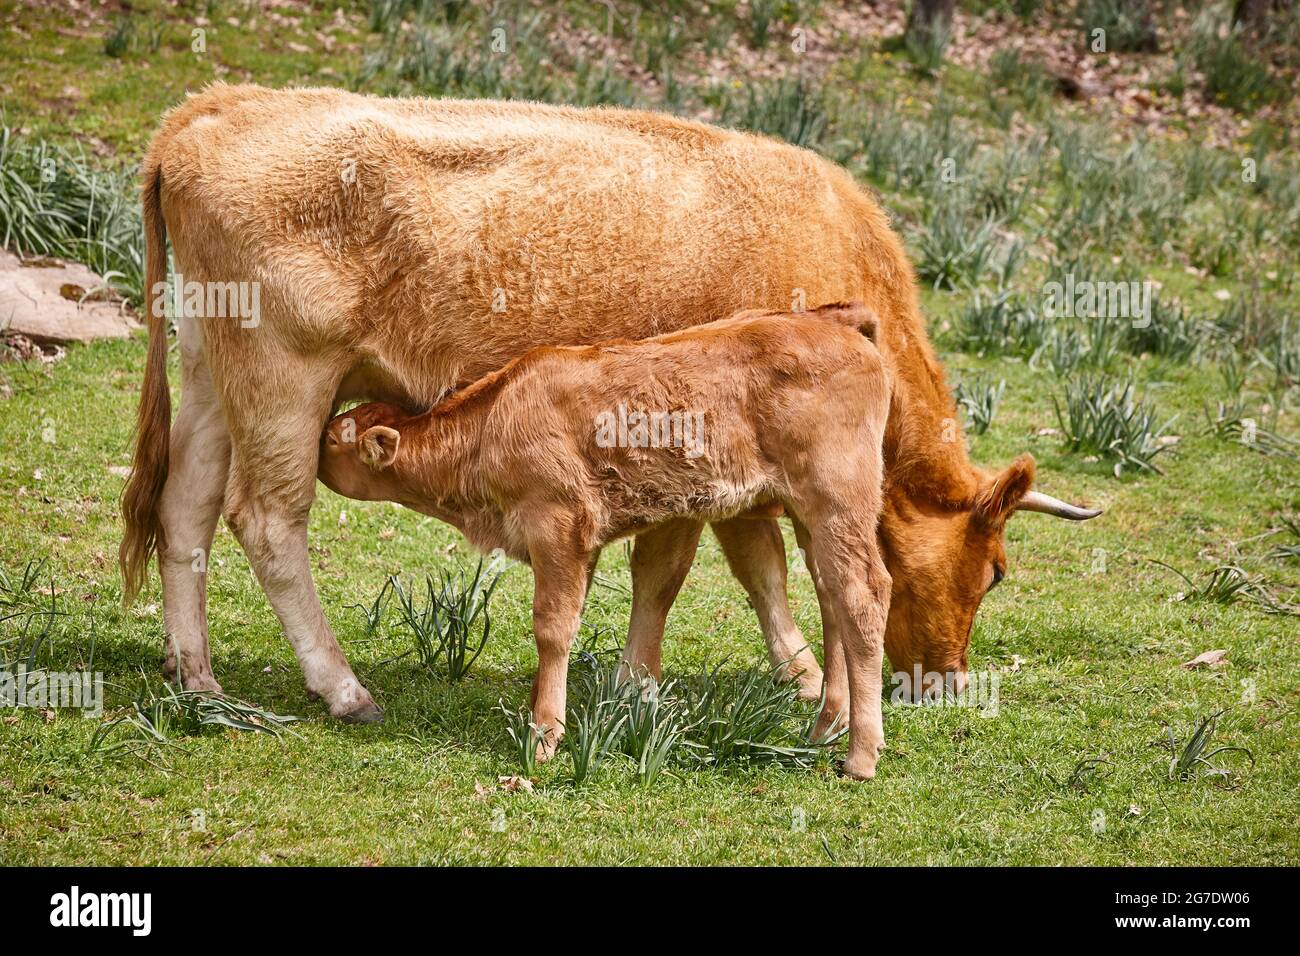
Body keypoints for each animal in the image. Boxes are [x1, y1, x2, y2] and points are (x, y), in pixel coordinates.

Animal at [119, 84, 1100, 724]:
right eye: (995, 571)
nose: (947, 683)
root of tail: (214, 108)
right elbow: (683, 568)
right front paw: (660, 684)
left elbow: (757, 565)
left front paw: (787, 675)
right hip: (286, 378)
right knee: (266, 518)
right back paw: (343, 688)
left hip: (213, 374)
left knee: (185, 508)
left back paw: (195, 676)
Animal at [318, 304, 892, 777]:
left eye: (332, 438)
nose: (312, 442)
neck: (493, 423)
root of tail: (834, 325)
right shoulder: (583, 544)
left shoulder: (556, 526)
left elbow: (552, 626)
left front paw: (544, 738)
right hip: (813, 516)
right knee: (831, 595)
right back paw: (827, 725)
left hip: (840, 500)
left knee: (863, 595)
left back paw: (861, 756)